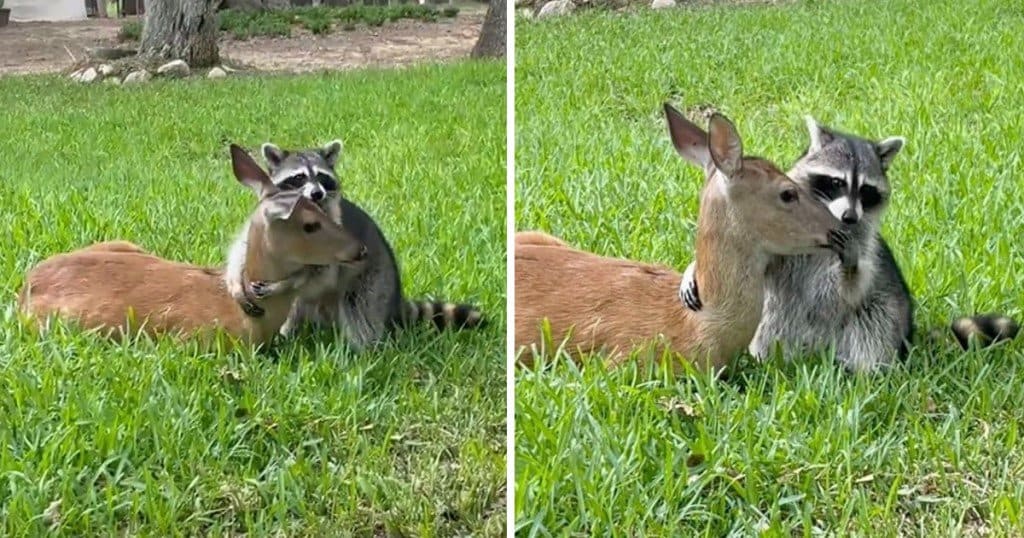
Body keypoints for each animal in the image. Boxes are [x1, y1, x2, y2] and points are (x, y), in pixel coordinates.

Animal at [18, 144, 367, 351]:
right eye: (310, 225)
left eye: (324, 212)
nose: (360, 249)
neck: (251, 321)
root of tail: (23, 289)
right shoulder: (190, 340)